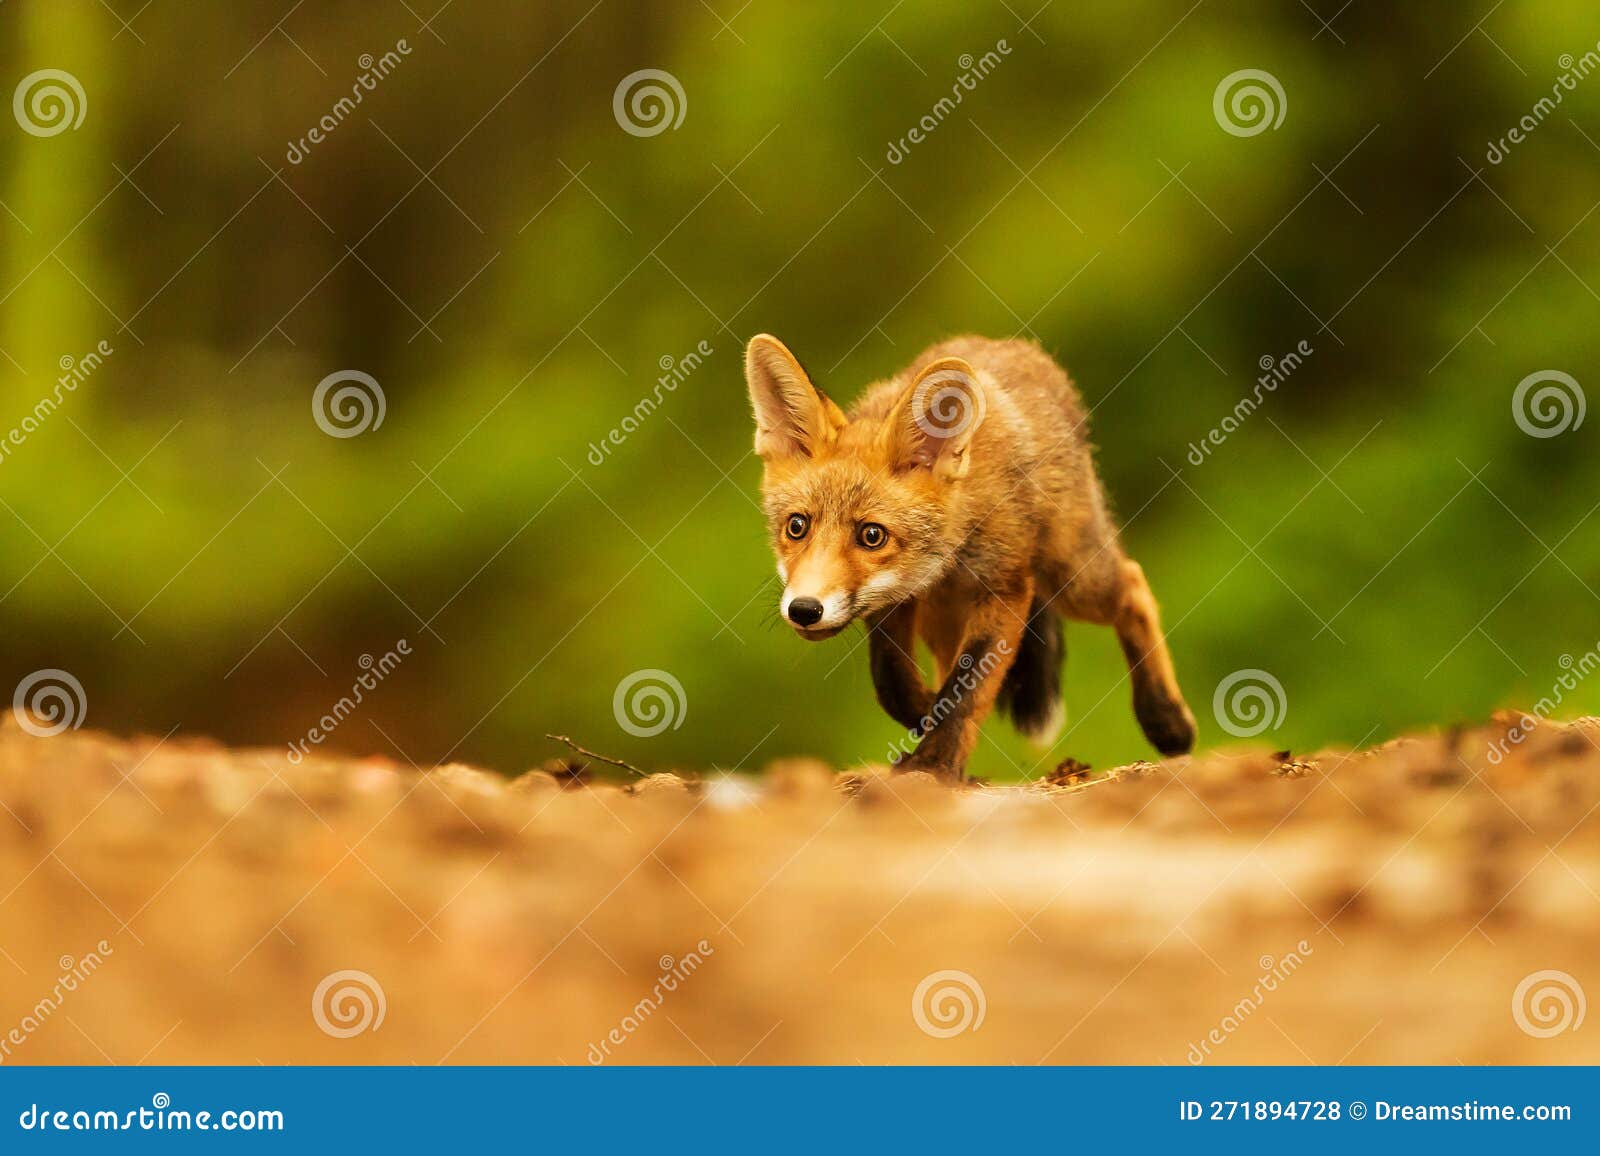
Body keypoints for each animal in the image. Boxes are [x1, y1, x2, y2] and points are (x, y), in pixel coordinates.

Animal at [743, 333, 1197, 779]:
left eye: (872, 535)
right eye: (797, 527)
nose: (804, 609)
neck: (948, 552)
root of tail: (1011, 344)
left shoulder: (1005, 588)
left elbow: (969, 684)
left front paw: (933, 763)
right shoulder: (896, 602)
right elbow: (892, 681)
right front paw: (925, 715)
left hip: (1074, 577)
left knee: (1133, 584)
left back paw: (1166, 720)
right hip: (943, 618)